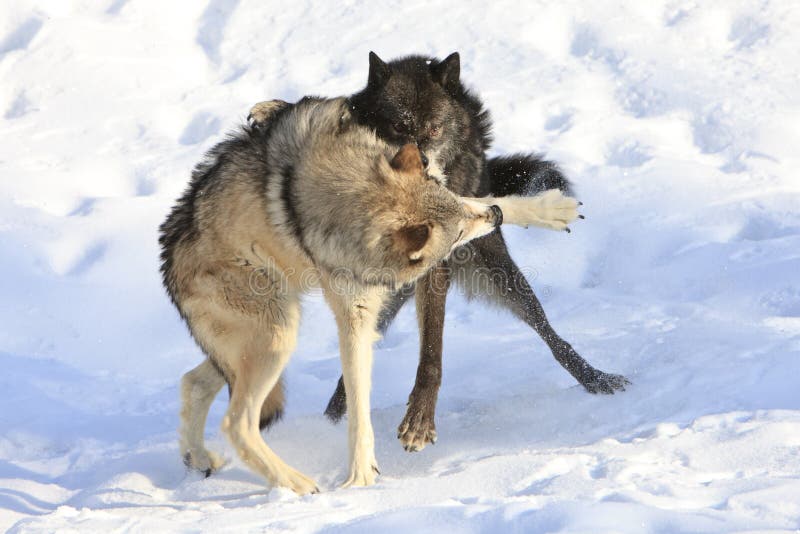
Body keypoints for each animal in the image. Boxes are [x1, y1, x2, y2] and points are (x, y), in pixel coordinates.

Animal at [160, 96, 580, 493]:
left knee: (192, 382)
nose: (493, 217)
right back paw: (296, 483)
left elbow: (500, 199)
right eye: (457, 233)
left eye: (453, 203)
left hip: (261, 340)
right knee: (237, 424)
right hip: (278, 337)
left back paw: (198, 458)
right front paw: (361, 477)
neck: (337, 186)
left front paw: (549, 208)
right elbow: (358, 406)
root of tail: (168, 267)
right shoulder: (356, 319)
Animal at [251, 52, 629, 454]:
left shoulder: (437, 269)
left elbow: (432, 353)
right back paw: (328, 427)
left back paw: (596, 378)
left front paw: (419, 421)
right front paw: (269, 109)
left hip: (504, 278)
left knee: (549, 332)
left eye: (433, 130)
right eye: (399, 126)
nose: (422, 165)